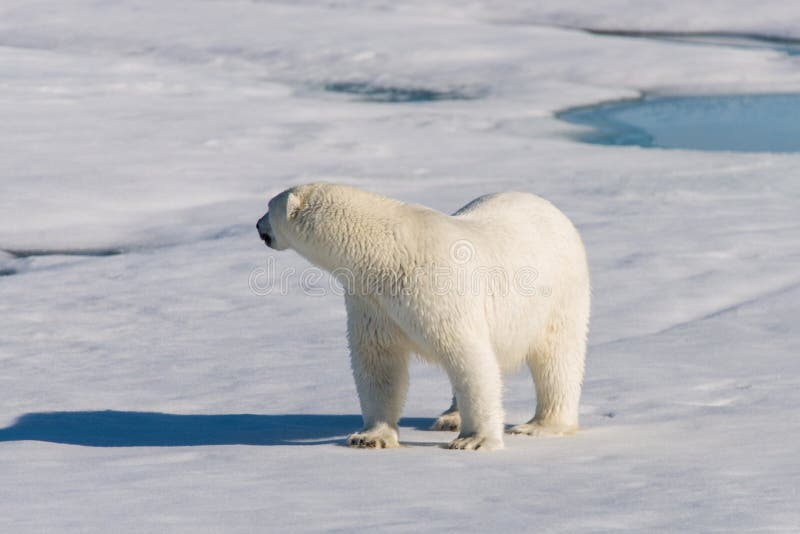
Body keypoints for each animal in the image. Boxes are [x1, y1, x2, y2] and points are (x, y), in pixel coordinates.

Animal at [257, 183, 590, 450]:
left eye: (268, 207)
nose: (258, 227)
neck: (386, 253)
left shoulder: (436, 288)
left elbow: (467, 355)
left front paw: (474, 441)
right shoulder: (371, 300)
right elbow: (378, 362)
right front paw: (369, 437)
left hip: (560, 294)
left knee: (557, 358)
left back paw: (540, 425)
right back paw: (450, 417)